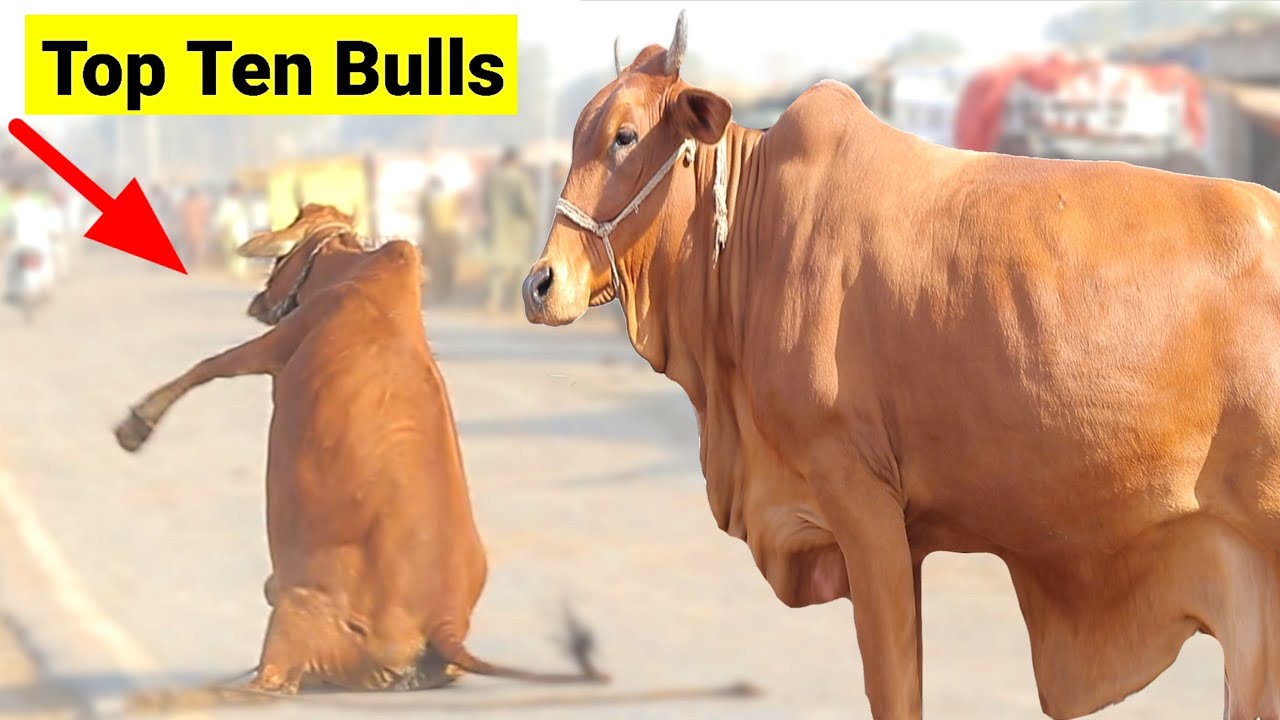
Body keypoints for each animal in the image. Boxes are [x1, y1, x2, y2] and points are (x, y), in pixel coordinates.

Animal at [114, 204, 607, 696]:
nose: (259, 296)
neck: (350, 272)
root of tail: (443, 622)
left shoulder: (280, 343)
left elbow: (210, 365)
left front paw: (135, 425)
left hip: (296, 618)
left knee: (266, 681)